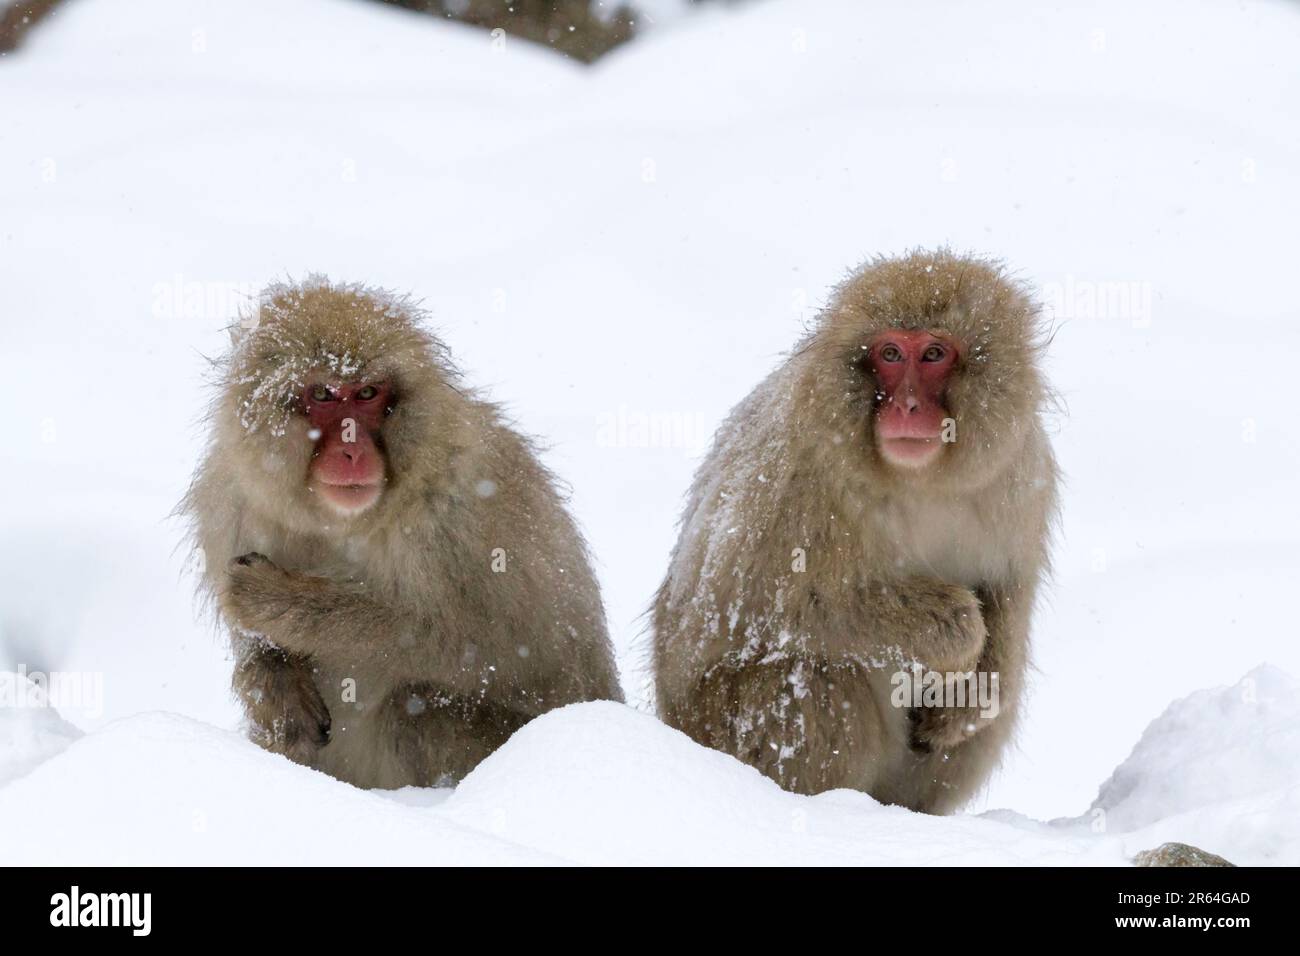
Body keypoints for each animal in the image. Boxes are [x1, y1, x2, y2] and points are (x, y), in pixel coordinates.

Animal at [181, 277, 623, 789]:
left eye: (368, 392)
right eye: (324, 394)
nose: (352, 451)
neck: (338, 520)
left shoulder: (461, 509)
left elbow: (474, 641)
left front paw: (283, 603)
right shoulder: (231, 500)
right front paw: (272, 678)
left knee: (414, 707)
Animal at [651, 249, 1058, 814]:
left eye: (934, 354)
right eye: (890, 353)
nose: (906, 406)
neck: (921, 480)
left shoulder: (1021, 476)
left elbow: (1007, 595)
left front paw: (972, 698)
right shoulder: (792, 477)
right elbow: (751, 612)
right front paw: (953, 626)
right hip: (719, 725)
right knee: (815, 677)